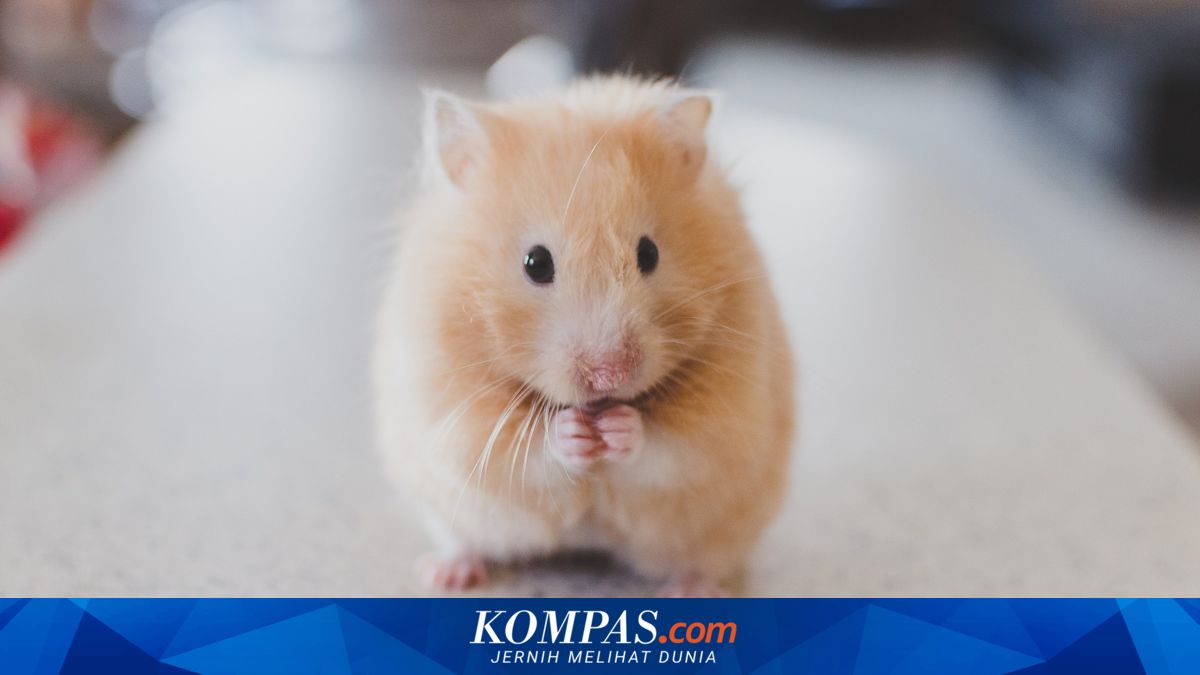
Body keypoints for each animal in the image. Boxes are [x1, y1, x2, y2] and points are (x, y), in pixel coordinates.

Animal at [373, 76, 794, 596]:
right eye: (536, 263)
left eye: (649, 254)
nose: (609, 375)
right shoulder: (453, 413)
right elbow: (523, 451)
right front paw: (574, 433)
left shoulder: (729, 417)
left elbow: (672, 448)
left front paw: (618, 429)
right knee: (465, 540)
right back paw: (445, 575)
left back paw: (692, 589)